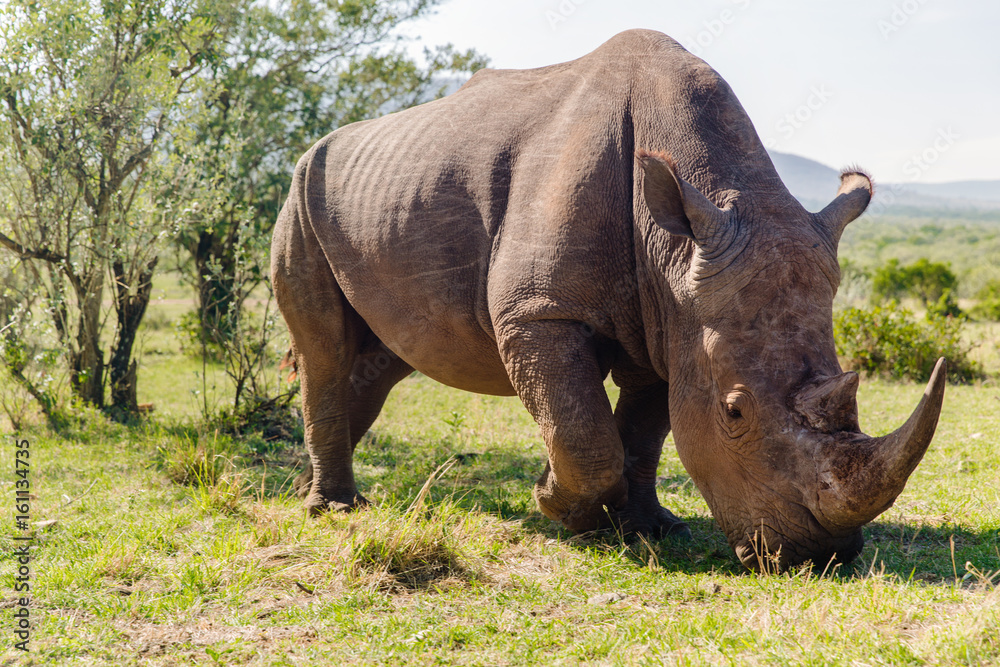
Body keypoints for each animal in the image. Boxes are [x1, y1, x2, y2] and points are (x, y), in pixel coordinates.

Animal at [271, 29, 946, 570]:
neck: (675, 247)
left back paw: (307, 487)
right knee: (325, 348)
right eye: (734, 413)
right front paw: (562, 506)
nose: (818, 555)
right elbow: (587, 436)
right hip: (301, 191)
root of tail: (315, 147)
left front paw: (647, 526)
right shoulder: (539, 315)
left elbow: (646, 432)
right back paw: (332, 509)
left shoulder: (672, 318)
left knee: (384, 358)